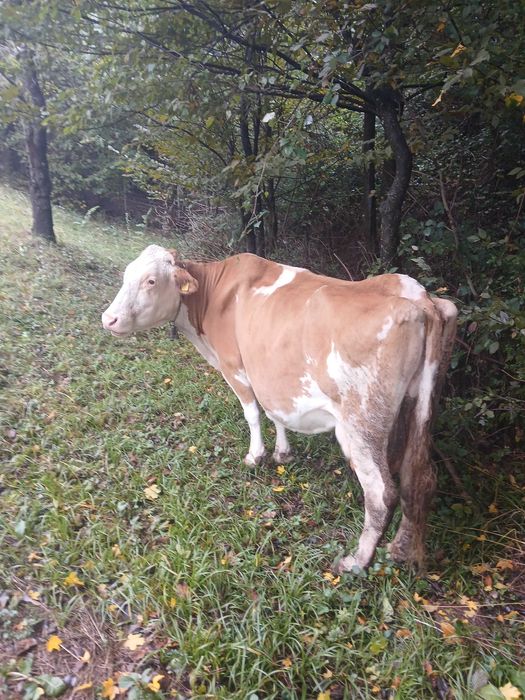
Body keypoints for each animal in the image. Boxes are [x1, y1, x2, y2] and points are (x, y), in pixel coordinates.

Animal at [102, 245, 457, 572]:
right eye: (126, 275)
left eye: (151, 281)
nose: (108, 319)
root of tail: (423, 302)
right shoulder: (269, 374)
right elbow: (275, 412)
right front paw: (282, 452)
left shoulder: (235, 367)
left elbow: (252, 413)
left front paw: (255, 456)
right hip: (417, 409)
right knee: (419, 477)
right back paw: (404, 551)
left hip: (361, 423)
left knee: (381, 493)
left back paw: (356, 561)